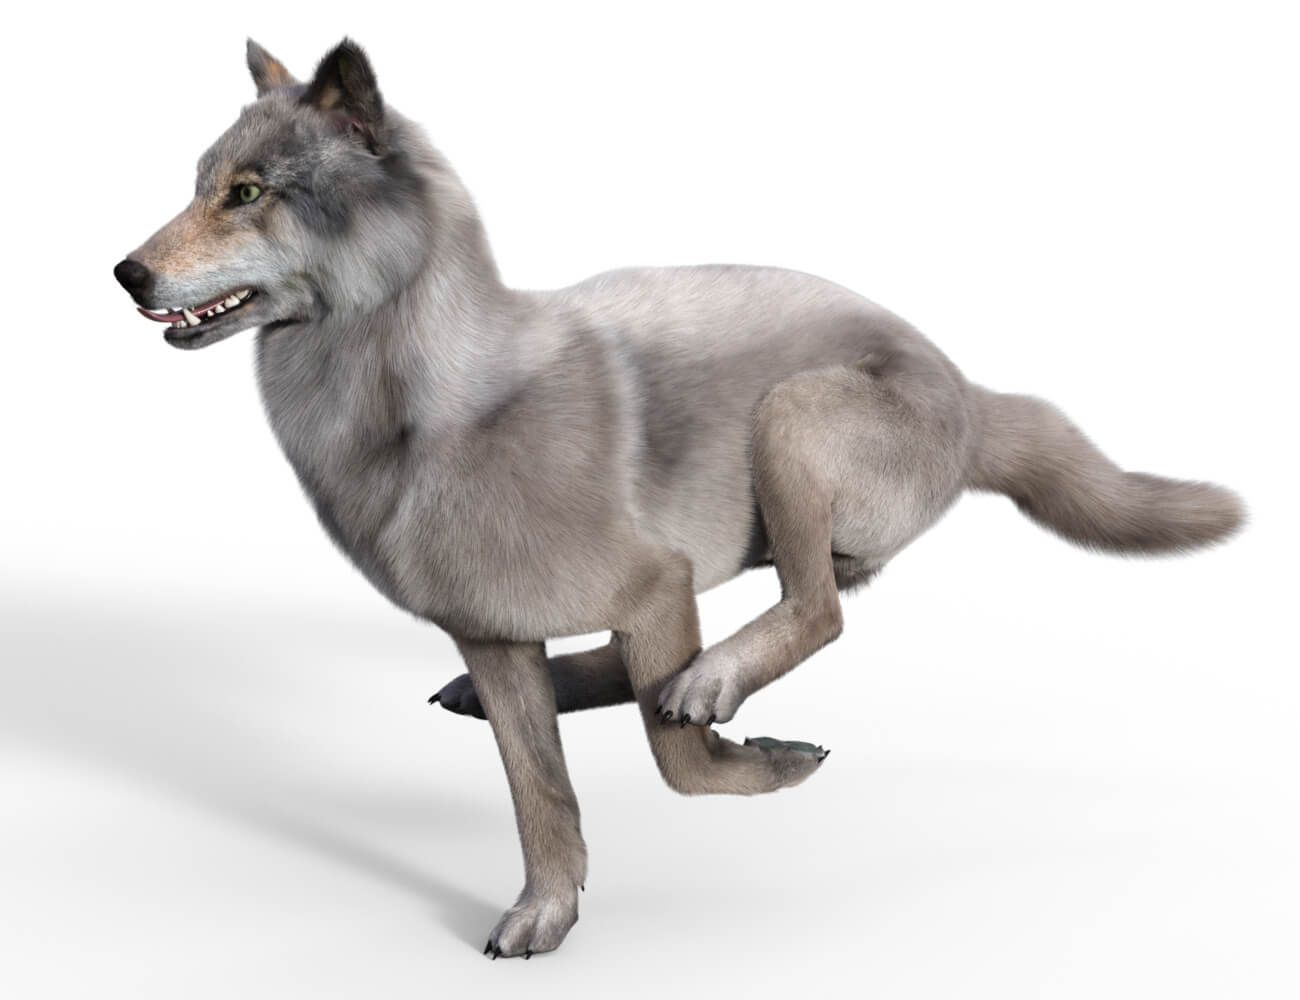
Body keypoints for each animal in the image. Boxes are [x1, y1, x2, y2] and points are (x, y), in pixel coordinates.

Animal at [113, 38, 1243, 958]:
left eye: (248, 193)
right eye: (201, 185)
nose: (125, 273)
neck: (430, 408)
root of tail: (969, 393)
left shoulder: (657, 583)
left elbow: (674, 760)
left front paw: (762, 760)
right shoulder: (493, 633)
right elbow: (542, 792)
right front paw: (548, 910)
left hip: (789, 418)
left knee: (811, 610)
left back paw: (715, 678)